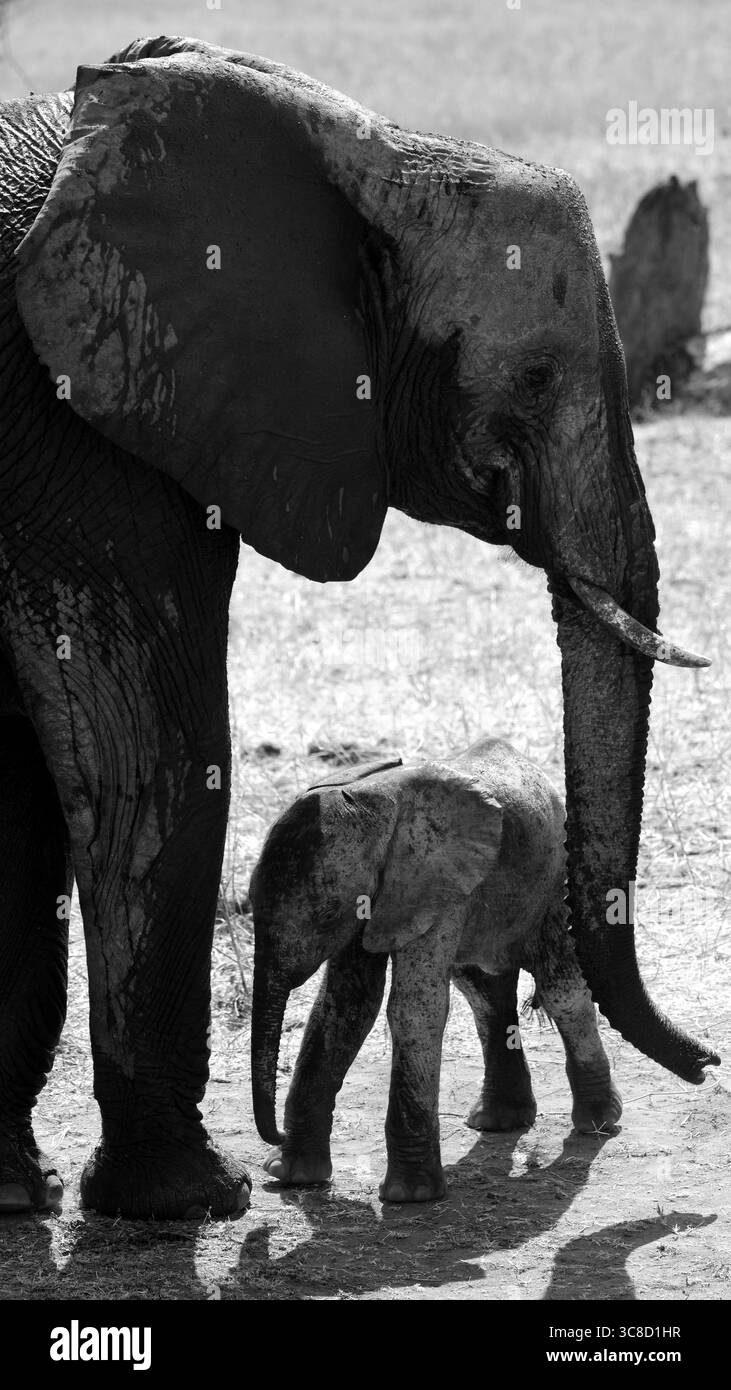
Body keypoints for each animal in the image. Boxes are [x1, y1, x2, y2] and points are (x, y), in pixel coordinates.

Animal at [250, 738, 624, 1202]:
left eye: (322, 915)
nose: (274, 1136)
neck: (375, 805)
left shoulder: (435, 885)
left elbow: (414, 1008)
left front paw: (410, 1196)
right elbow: (344, 1007)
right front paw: (291, 1174)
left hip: (553, 877)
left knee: (561, 988)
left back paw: (597, 1123)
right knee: (480, 989)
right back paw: (499, 1122)